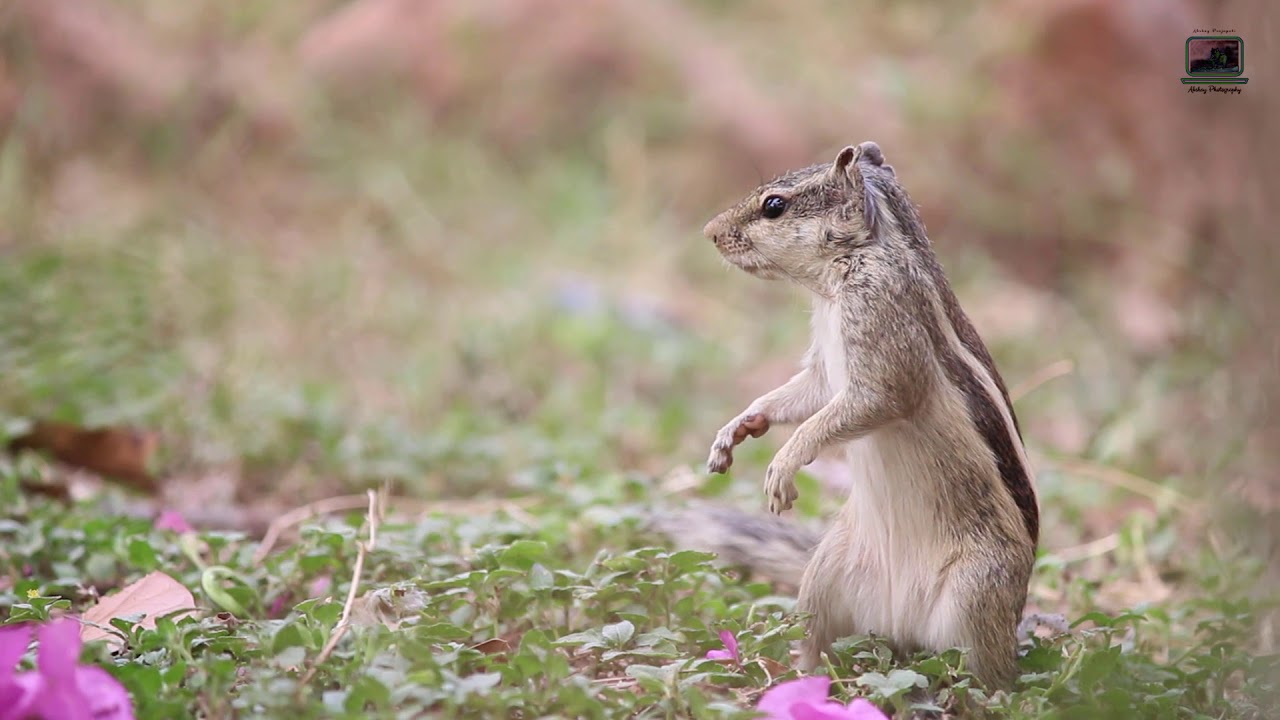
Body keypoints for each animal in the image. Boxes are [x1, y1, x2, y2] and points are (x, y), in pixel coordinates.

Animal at [658, 141, 1039, 689]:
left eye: (774, 205)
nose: (710, 231)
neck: (845, 271)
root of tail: (900, 625)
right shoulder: (823, 369)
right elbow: (806, 393)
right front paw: (739, 427)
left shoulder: (881, 334)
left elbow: (868, 402)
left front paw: (784, 462)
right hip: (825, 575)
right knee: (819, 641)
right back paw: (795, 675)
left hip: (976, 594)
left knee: (984, 672)